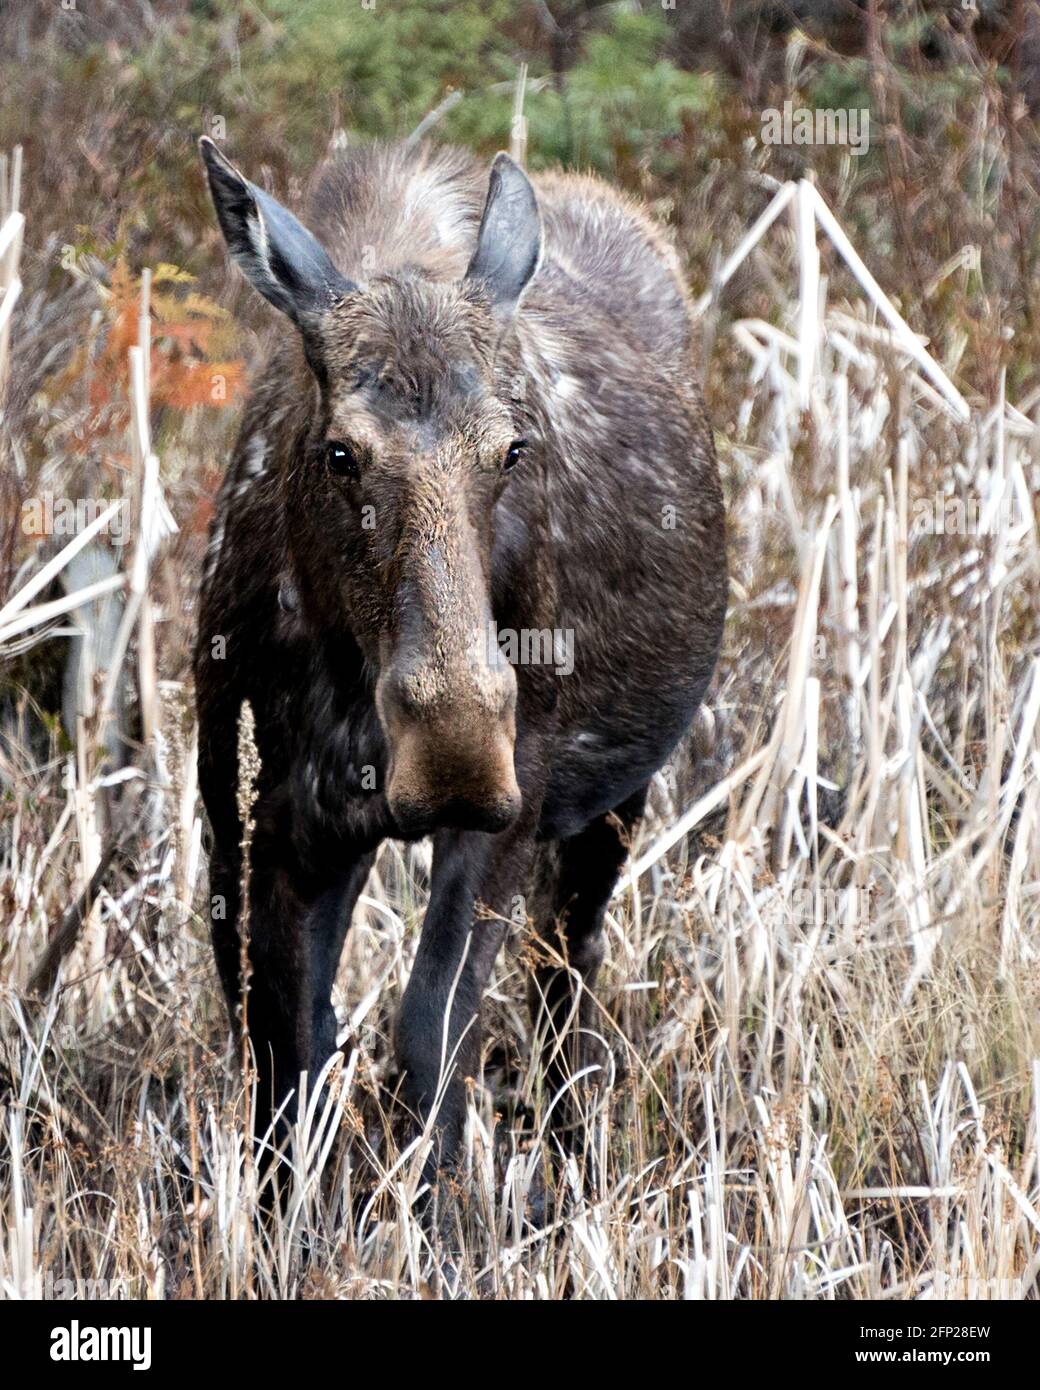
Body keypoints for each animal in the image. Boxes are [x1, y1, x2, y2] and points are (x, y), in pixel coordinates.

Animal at [194, 134, 726, 1203]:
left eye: (512, 448)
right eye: (341, 452)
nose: (456, 748)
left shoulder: (511, 815)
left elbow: (432, 1038)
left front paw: (438, 1225)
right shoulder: (272, 818)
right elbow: (285, 1049)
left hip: (615, 801)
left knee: (569, 967)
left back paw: (572, 1161)